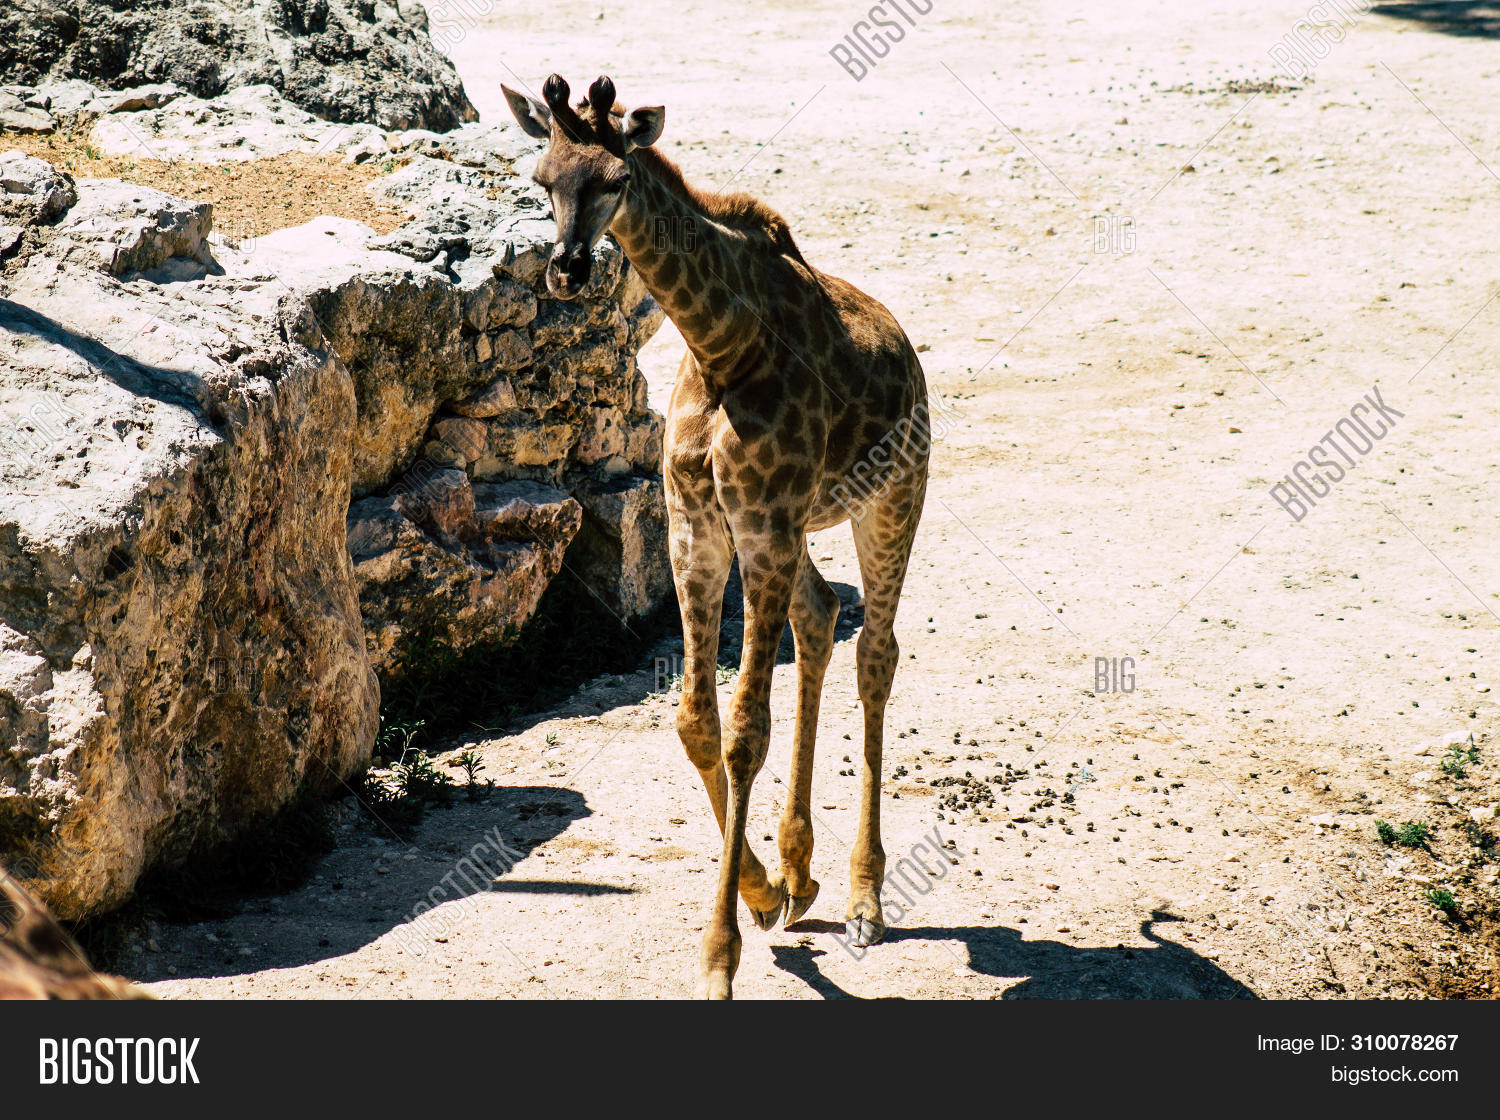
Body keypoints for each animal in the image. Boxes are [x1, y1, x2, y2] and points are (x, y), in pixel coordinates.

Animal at [504, 74, 929, 998]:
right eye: (541, 178)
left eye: (614, 180)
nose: (568, 269)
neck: (720, 345)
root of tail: (906, 348)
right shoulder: (699, 522)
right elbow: (698, 721)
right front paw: (765, 891)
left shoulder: (760, 520)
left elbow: (743, 731)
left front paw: (719, 957)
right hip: (794, 527)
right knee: (820, 615)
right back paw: (802, 872)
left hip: (892, 497)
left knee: (877, 651)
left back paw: (865, 899)